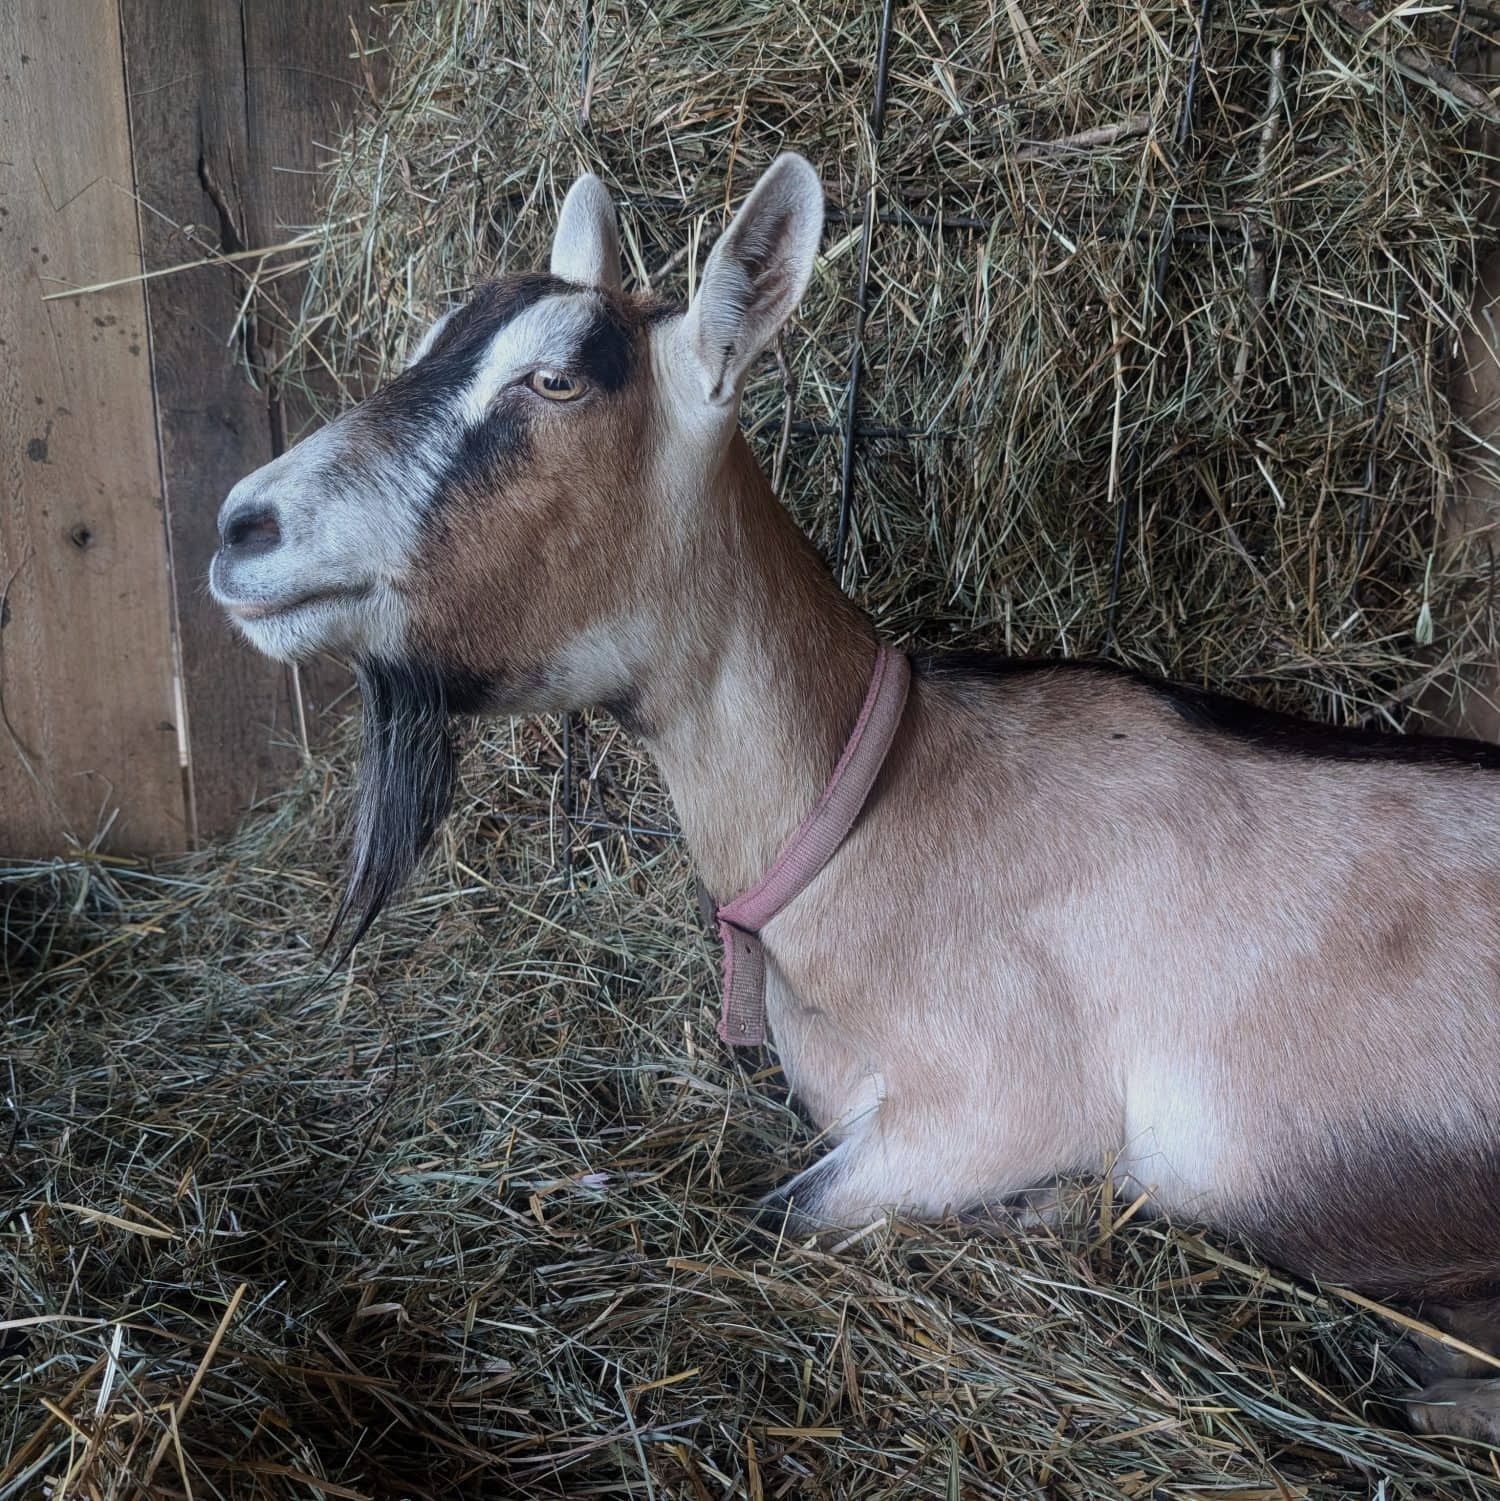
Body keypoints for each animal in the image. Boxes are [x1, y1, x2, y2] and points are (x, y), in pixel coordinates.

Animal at [211, 155, 1500, 1441]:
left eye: (556, 378)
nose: (240, 527)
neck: (882, 807)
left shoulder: (1002, 1106)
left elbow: (780, 1210)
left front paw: (1062, 1208)